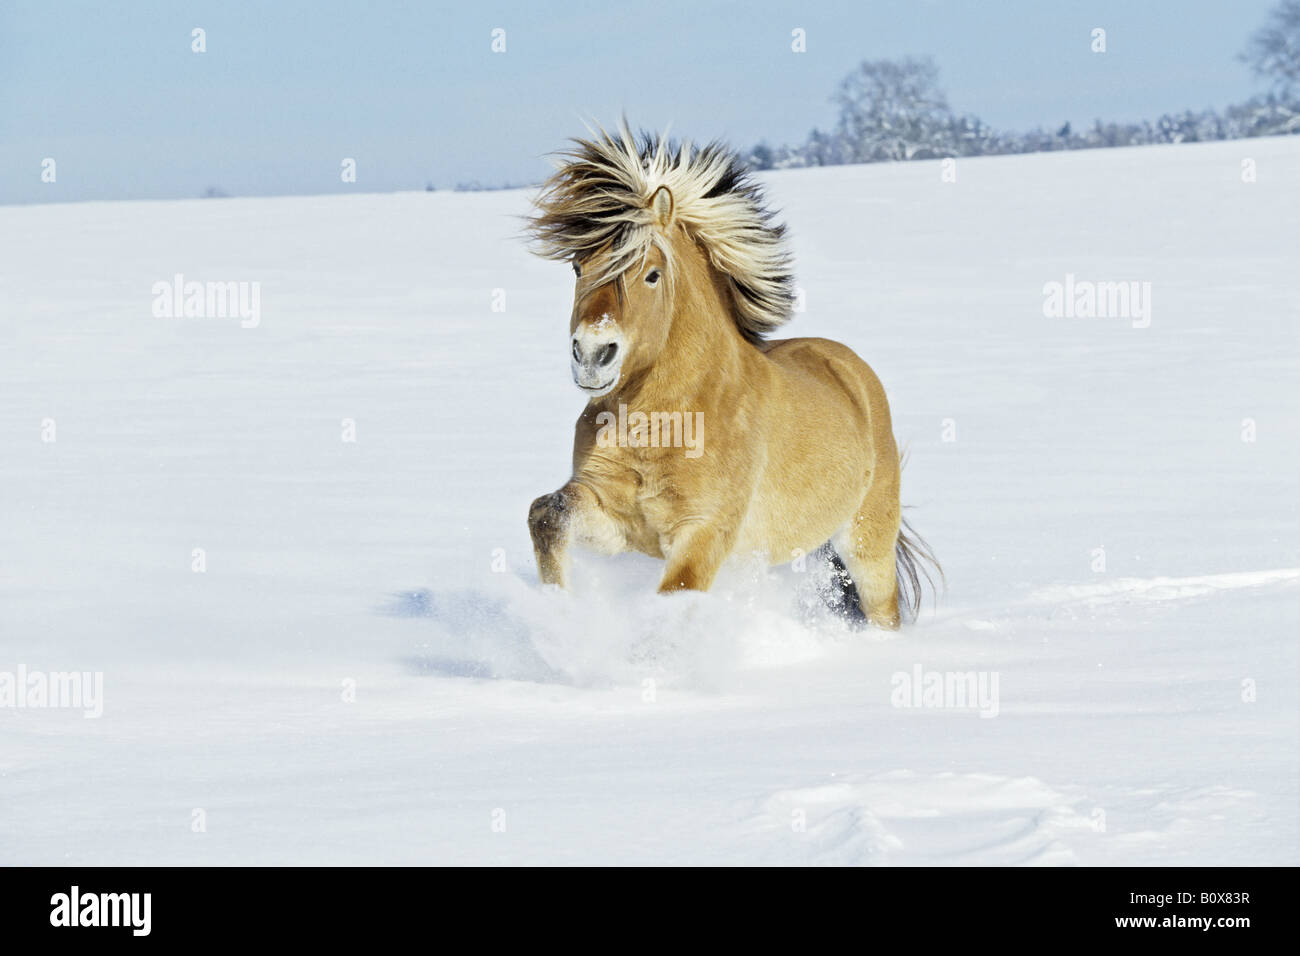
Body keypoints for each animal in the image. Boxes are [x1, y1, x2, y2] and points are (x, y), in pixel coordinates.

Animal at [524, 124, 939, 628]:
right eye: (578, 266)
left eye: (651, 274)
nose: (591, 354)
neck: (663, 420)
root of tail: (851, 369)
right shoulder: (615, 521)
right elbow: (546, 513)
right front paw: (557, 615)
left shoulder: (705, 531)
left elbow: (674, 601)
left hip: (867, 543)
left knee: (883, 611)